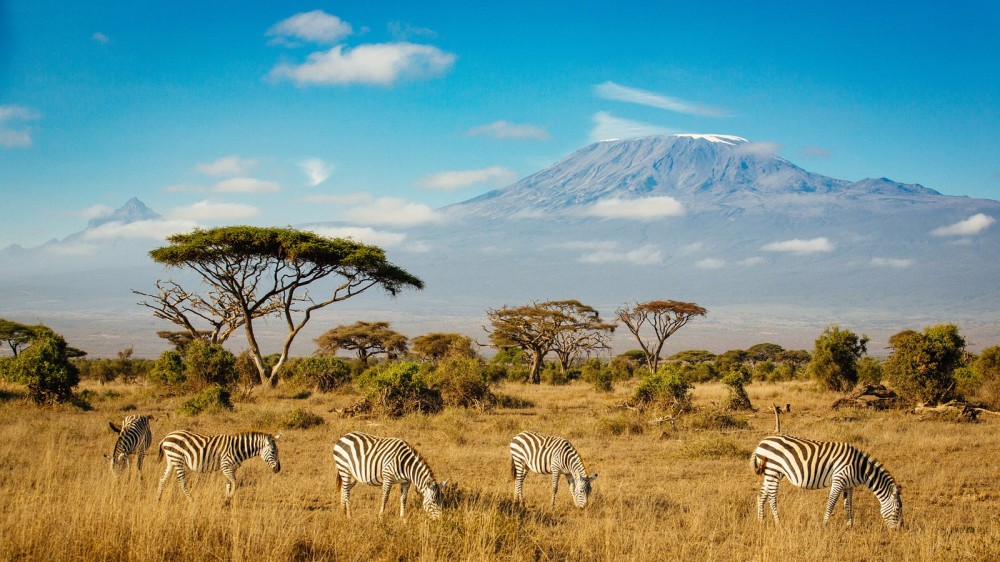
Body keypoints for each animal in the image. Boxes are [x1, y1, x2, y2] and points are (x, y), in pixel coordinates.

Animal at [753, 434, 903, 529]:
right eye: (897, 510)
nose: (899, 530)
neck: (859, 468)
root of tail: (762, 442)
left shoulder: (849, 485)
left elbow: (848, 505)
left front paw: (850, 526)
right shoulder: (839, 480)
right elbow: (831, 503)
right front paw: (824, 525)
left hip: (770, 473)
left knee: (762, 495)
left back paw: (761, 521)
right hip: (773, 471)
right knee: (772, 498)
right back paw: (779, 524)